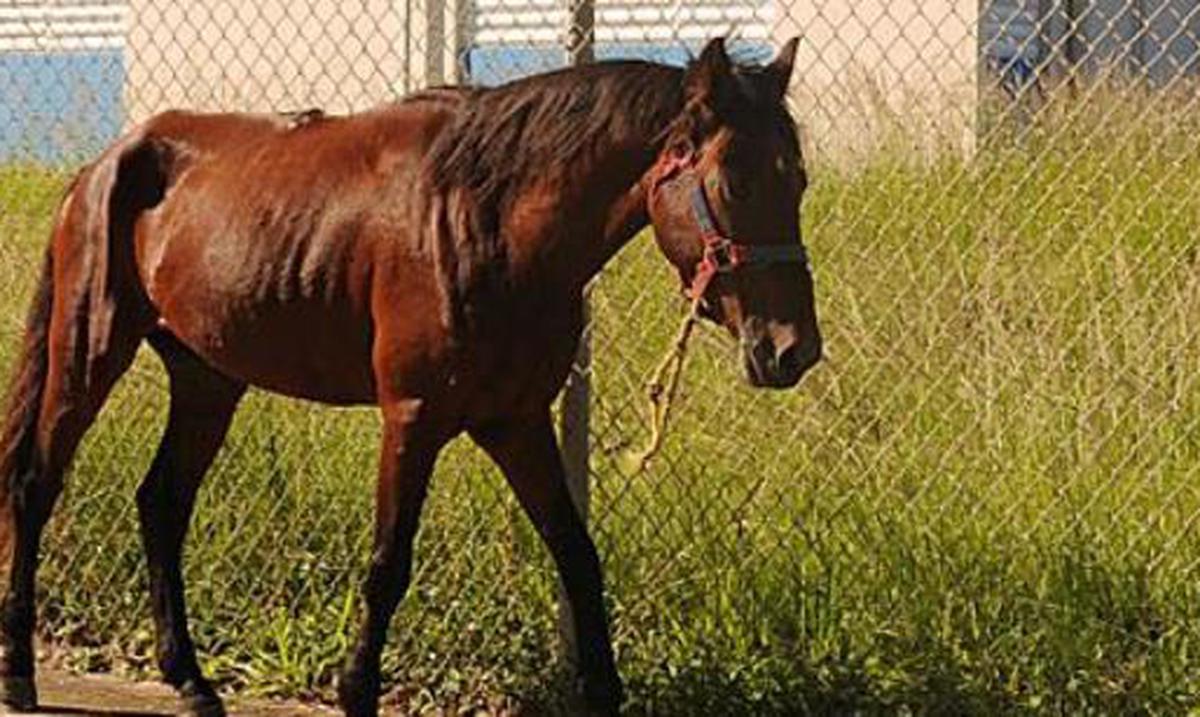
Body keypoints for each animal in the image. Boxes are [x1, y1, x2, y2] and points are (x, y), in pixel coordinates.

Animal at [0, 37, 820, 715]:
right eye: (735, 181)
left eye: (799, 180)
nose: (791, 350)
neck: (487, 220)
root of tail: (104, 165)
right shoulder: (413, 416)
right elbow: (389, 563)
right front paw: (356, 688)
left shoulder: (518, 423)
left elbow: (577, 556)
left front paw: (603, 690)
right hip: (89, 351)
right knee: (36, 485)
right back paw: (19, 669)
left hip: (208, 379)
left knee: (163, 504)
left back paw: (192, 680)